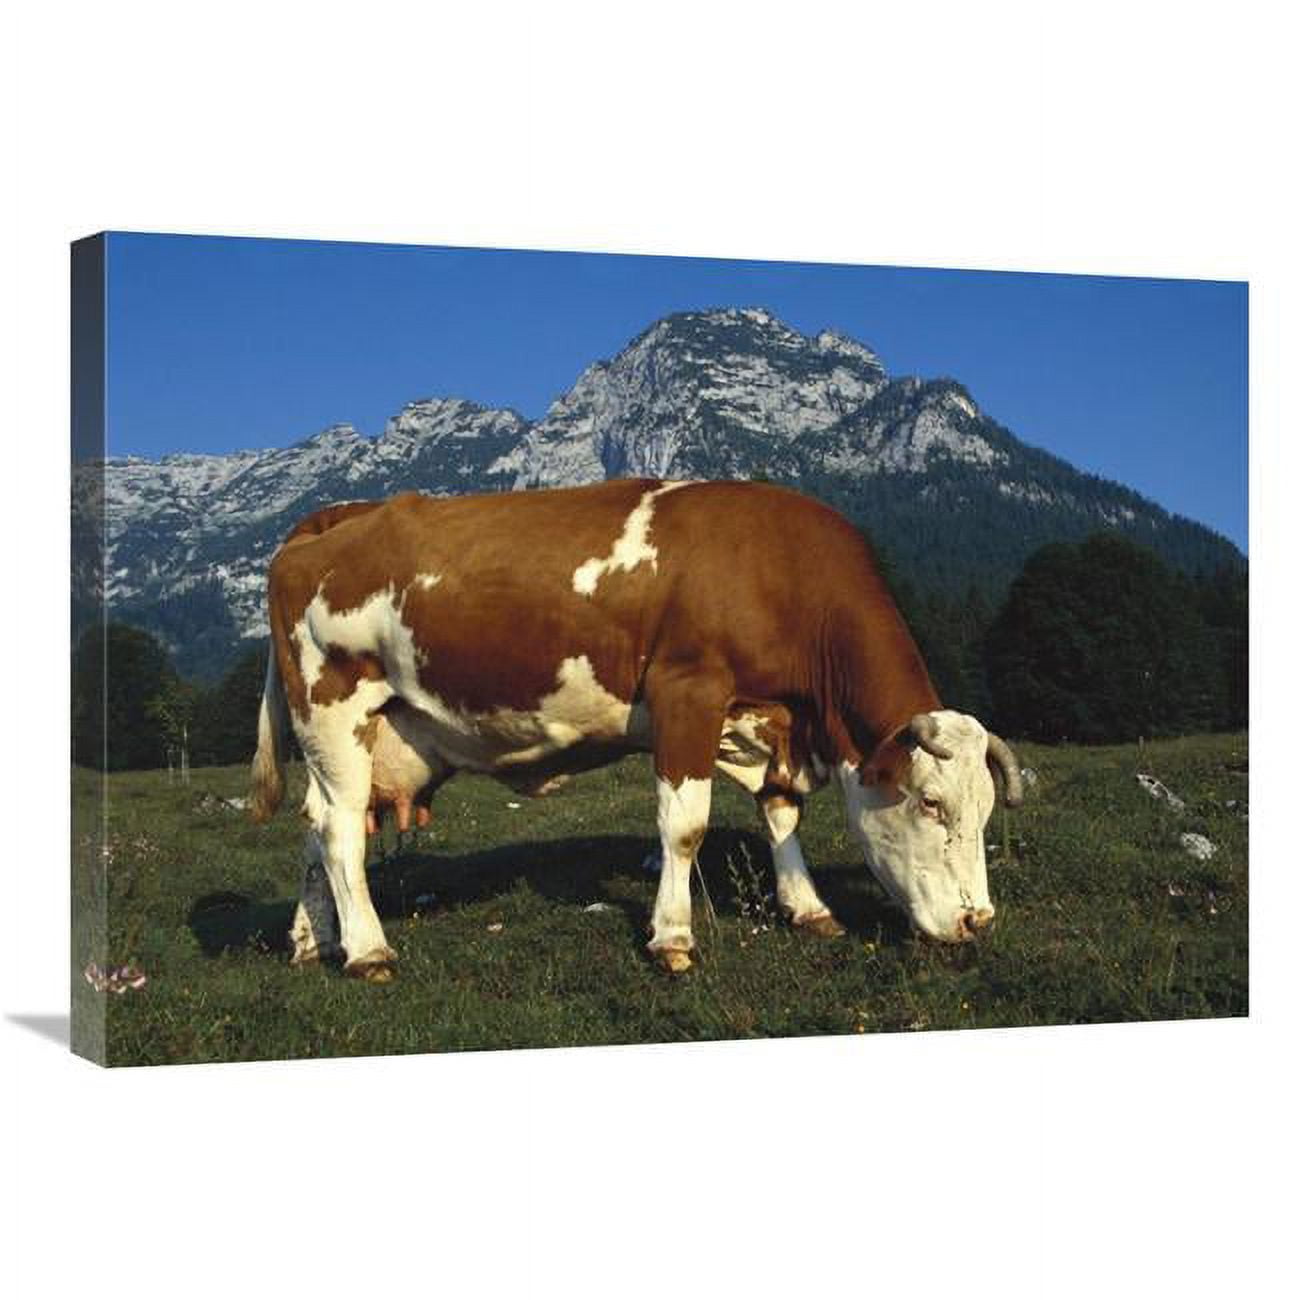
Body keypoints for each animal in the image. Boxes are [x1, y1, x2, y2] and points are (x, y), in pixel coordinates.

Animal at [251, 479, 1023, 981]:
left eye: (988, 810)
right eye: (931, 803)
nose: (980, 921)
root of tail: (340, 516)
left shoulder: (770, 720)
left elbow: (781, 815)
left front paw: (807, 908)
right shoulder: (688, 691)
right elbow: (684, 827)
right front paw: (673, 937)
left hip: (356, 734)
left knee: (315, 826)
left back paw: (311, 940)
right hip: (331, 705)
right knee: (339, 830)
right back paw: (368, 952)